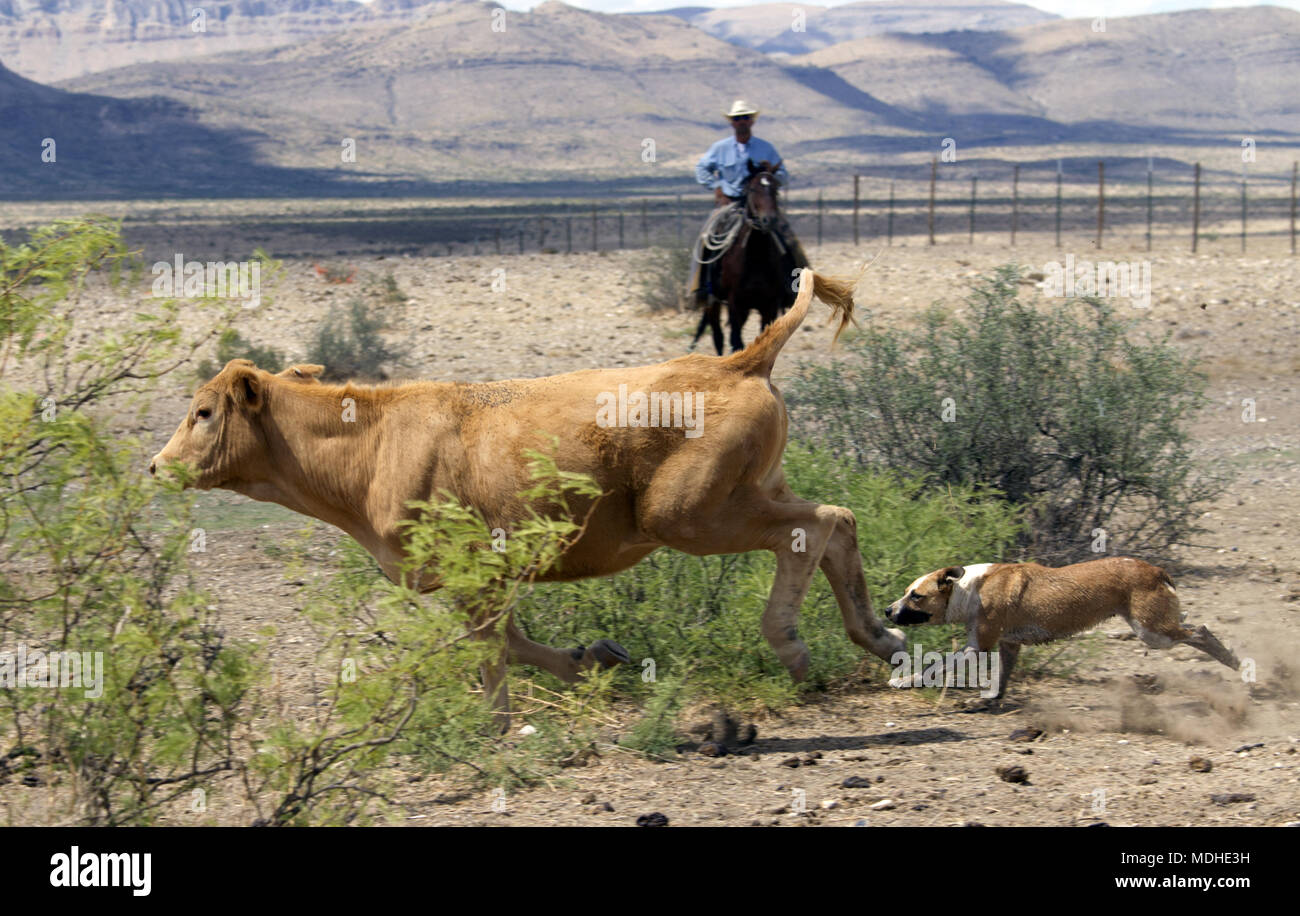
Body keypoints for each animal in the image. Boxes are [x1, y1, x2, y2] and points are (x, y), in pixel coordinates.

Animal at [151, 269, 906, 724]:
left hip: (691, 514)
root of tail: (736, 362)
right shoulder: (485, 579)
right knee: (836, 523)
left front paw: (497, 725)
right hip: (750, 490)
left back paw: (796, 648)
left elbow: (494, 651)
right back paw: (883, 638)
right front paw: (593, 658)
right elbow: (511, 643)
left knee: (814, 526)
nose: (158, 466)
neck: (371, 445)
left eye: (203, 412)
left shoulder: (474, 572)